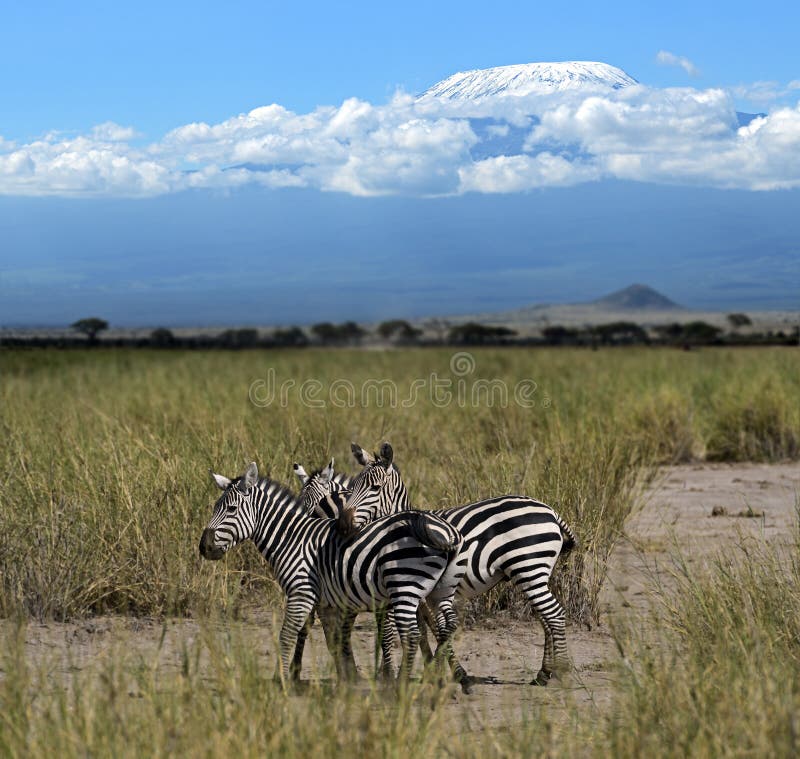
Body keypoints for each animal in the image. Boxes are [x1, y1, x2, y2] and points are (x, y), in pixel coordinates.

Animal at [198, 461, 464, 687]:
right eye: (215, 507)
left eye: (231, 509)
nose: (204, 547)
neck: (292, 538)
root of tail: (445, 531)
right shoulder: (327, 602)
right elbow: (335, 641)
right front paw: (346, 682)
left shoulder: (302, 593)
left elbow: (287, 635)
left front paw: (281, 681)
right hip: (439, 590)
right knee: (443, 625)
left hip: (404, 587)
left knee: (411, 635)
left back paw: (402, 687)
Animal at [326, 442, 578, 689]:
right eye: (354, 487)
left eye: (375, 488)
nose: (342, 525)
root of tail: (550, 510)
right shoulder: (419, 594)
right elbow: (426, 631)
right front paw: (436, 671)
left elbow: (401, 632)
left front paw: (396, 675)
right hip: (533, 572)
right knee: (545, 618)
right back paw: (544, 673)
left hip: (529, 568)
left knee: (553, 613)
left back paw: (562, 674)